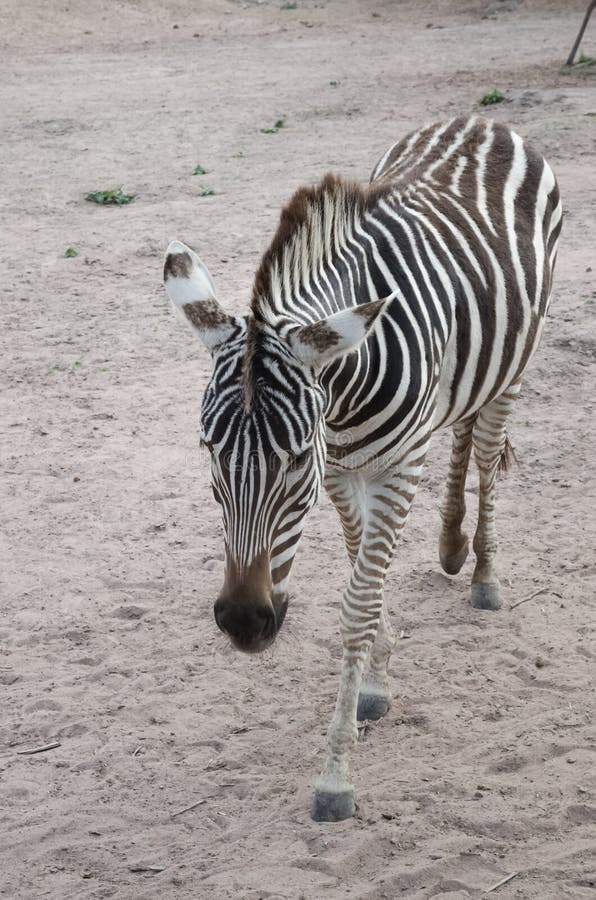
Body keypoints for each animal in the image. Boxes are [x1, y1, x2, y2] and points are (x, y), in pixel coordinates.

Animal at [163, 115, 562, 822]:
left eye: (295, 456)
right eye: (208, 449)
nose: (243, 622)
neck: (346, 393)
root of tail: (480, 120)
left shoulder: (393, 466)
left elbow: (360, 597)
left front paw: (335, 774)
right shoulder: (345, 469)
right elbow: (360, 573)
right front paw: (377, 677)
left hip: (515, 365)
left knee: (487, 455)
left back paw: (482, 571)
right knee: (463, 428)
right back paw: (451, 543)